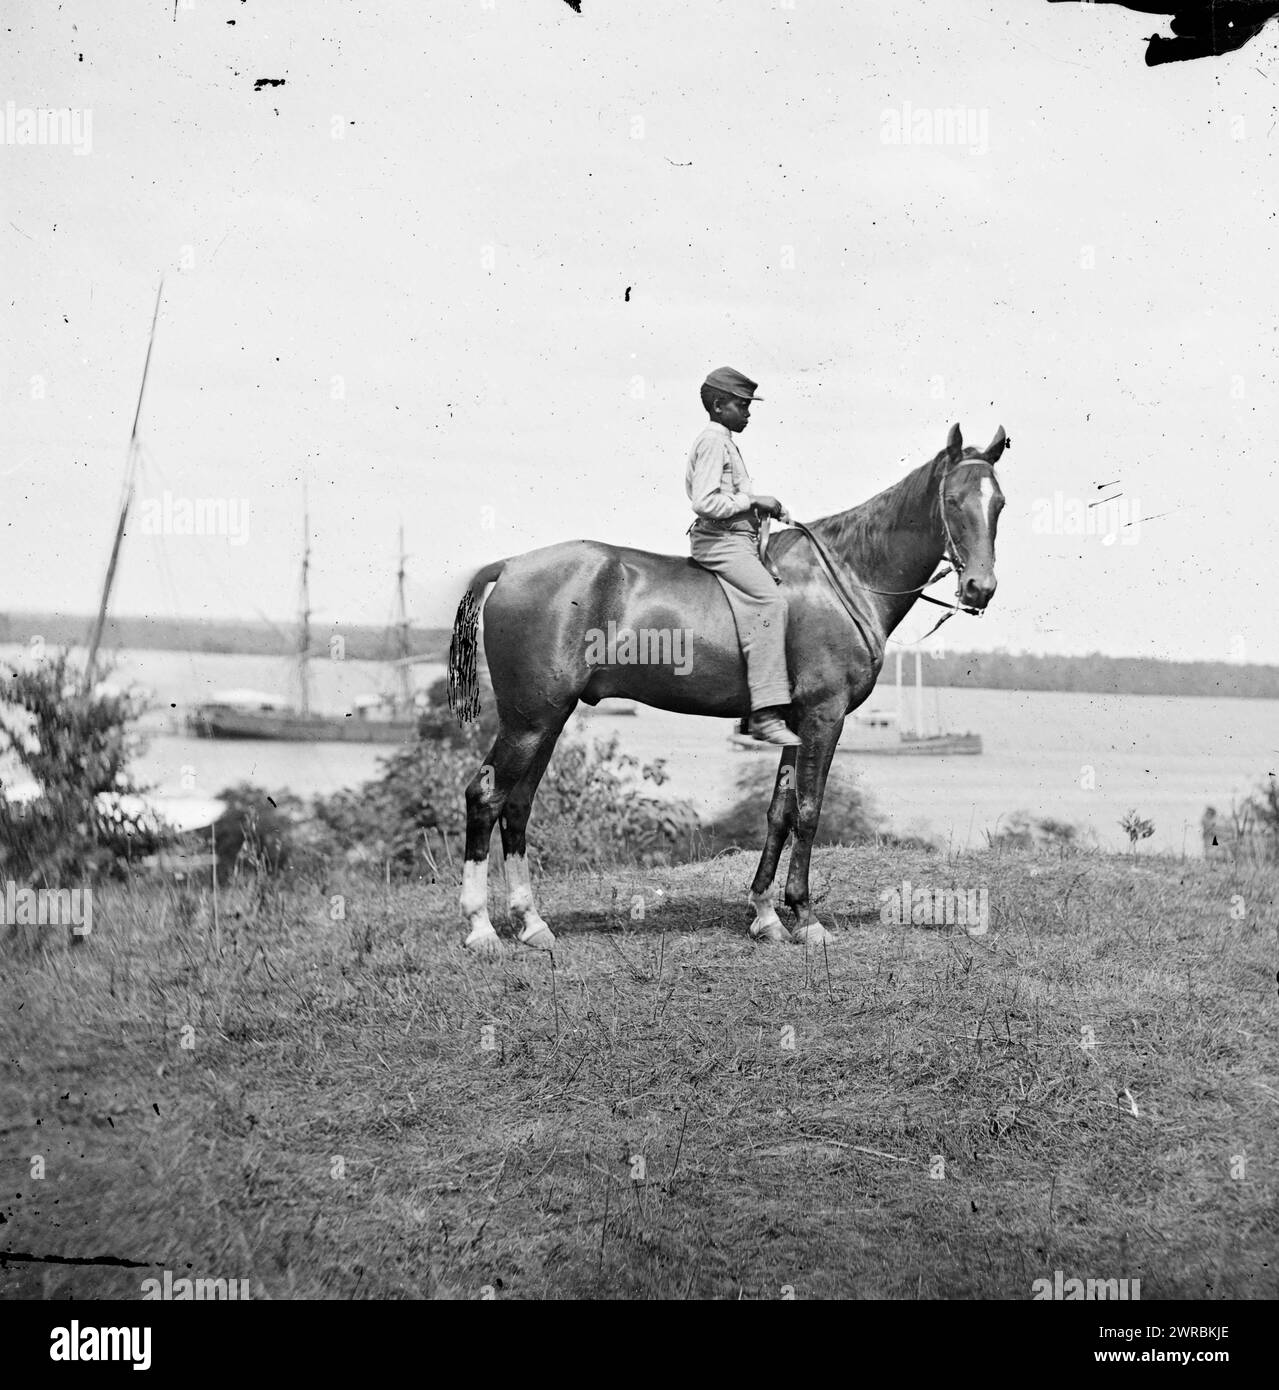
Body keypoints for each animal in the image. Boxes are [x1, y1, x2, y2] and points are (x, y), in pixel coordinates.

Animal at [446, 422, 1008, 954]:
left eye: (998, 503)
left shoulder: (795, 725)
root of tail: (510, 566)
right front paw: (806, 917)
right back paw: (480, 927)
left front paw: (766, 914)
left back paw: (531, 923)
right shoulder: (825, 717)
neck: (842, 579)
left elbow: (780, 812)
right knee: (486, 796)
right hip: (529, 720)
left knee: (517, 806)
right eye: (953, 501)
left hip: (548, 720)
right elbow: (809, 810)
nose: (980, 589)